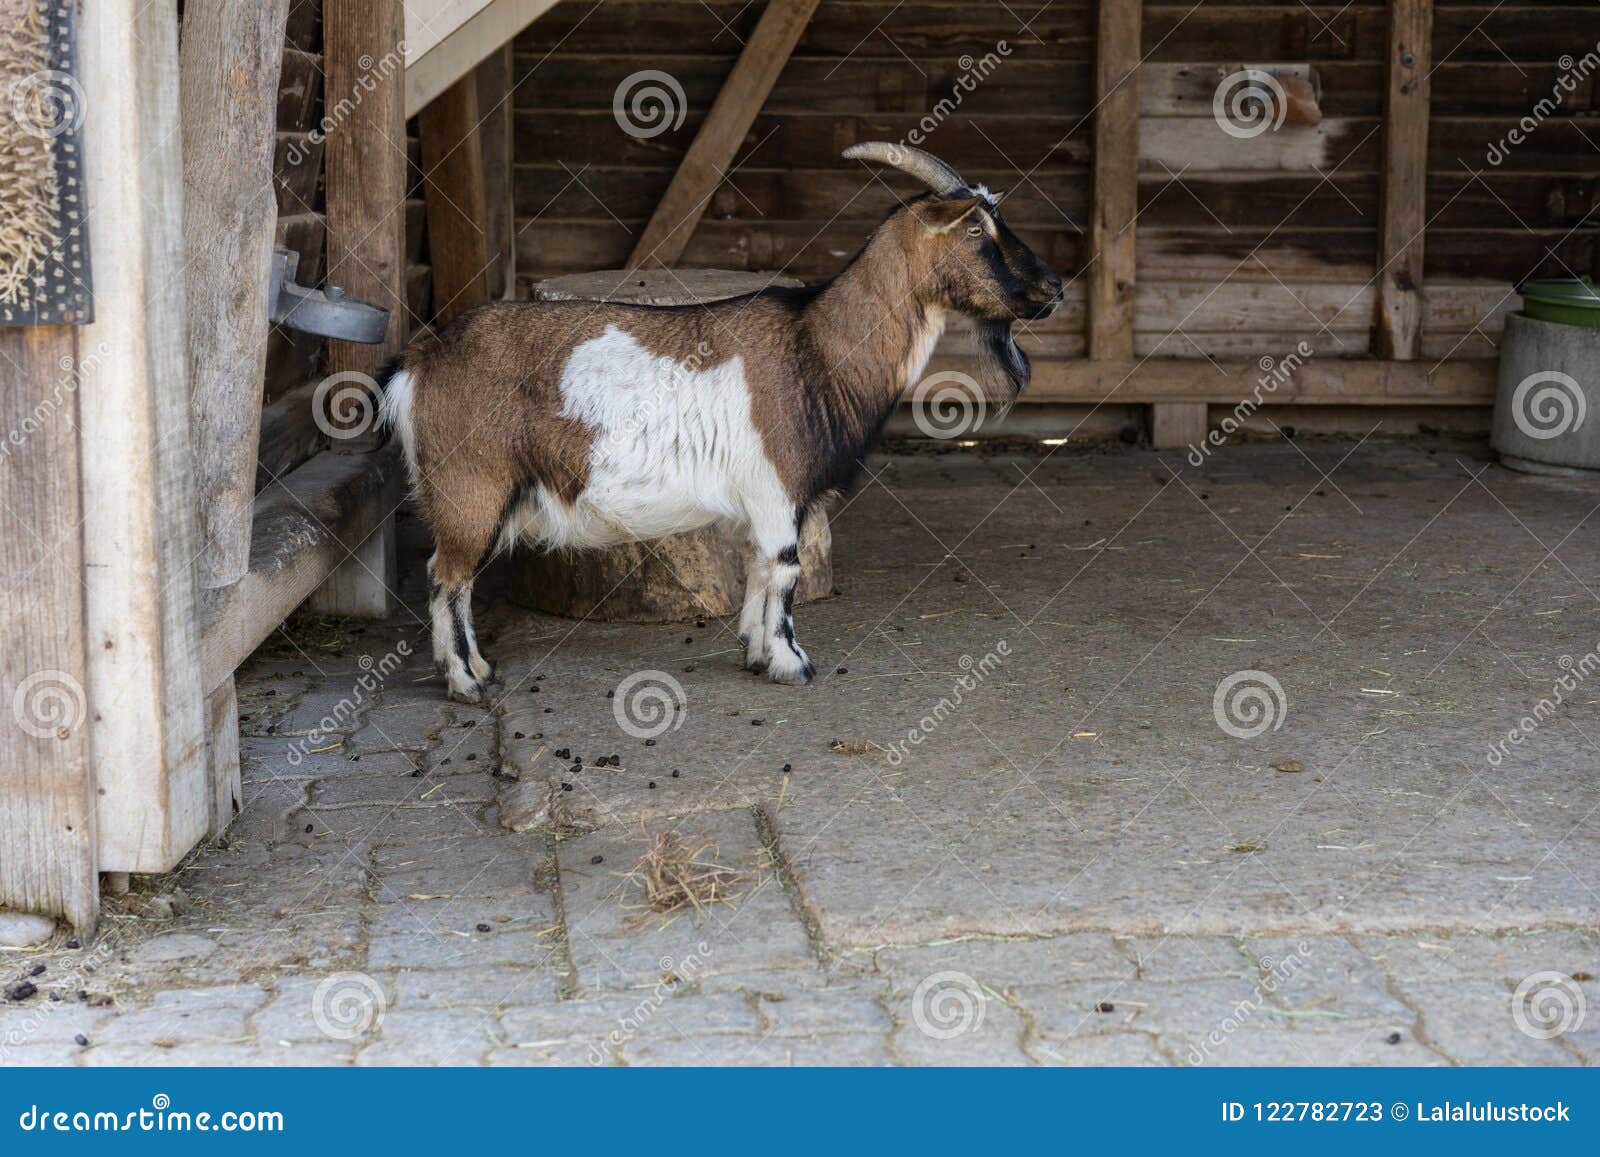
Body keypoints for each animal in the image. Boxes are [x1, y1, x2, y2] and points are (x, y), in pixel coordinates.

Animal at [380, 143, 1064, 703]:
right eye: (976, 225)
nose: (1054, 285)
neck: (817, 345)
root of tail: (421, 359)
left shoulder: (764, 498)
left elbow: (759, 568)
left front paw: (756, 654)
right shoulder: (780, 487)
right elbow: (785, 569)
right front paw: (792, 662)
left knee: (451, 578)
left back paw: (477, 669)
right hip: (470, 487)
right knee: (447, 577)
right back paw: (466, 681)